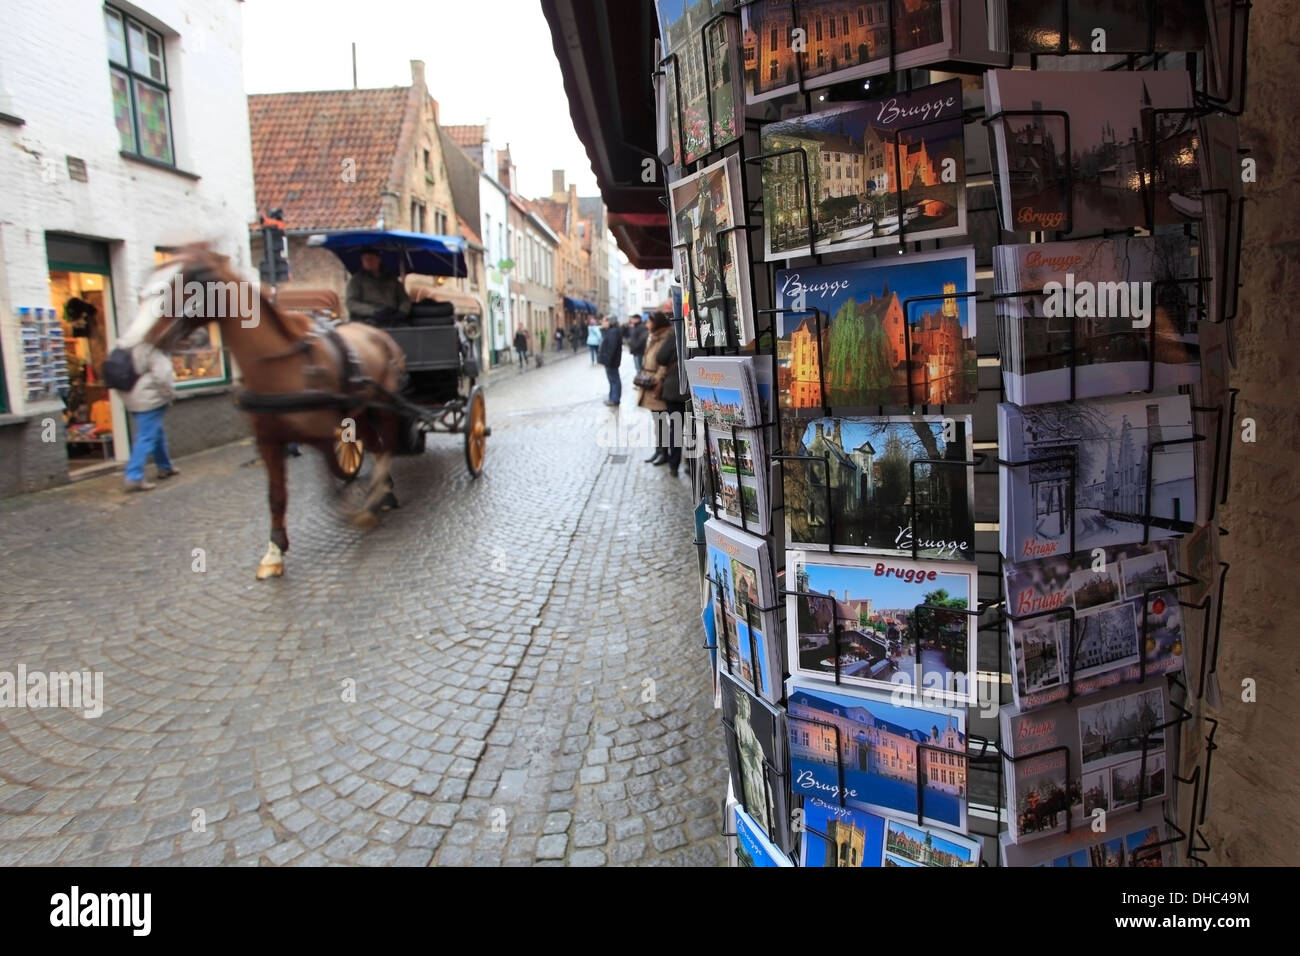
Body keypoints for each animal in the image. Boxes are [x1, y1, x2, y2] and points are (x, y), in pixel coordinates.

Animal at [129, 245, 406, 580]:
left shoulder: (322, 435)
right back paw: (382, 492)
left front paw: (358, 511)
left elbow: (331, 491)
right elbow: (276, 496)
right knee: (377, 447)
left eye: (188, 281)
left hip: (382, 408)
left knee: (386, 446)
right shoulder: (269, 441)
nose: (134, 346)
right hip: (361, 414)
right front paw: (274, 552)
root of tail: (378, 334)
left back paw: (381, 494)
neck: (279, 365)